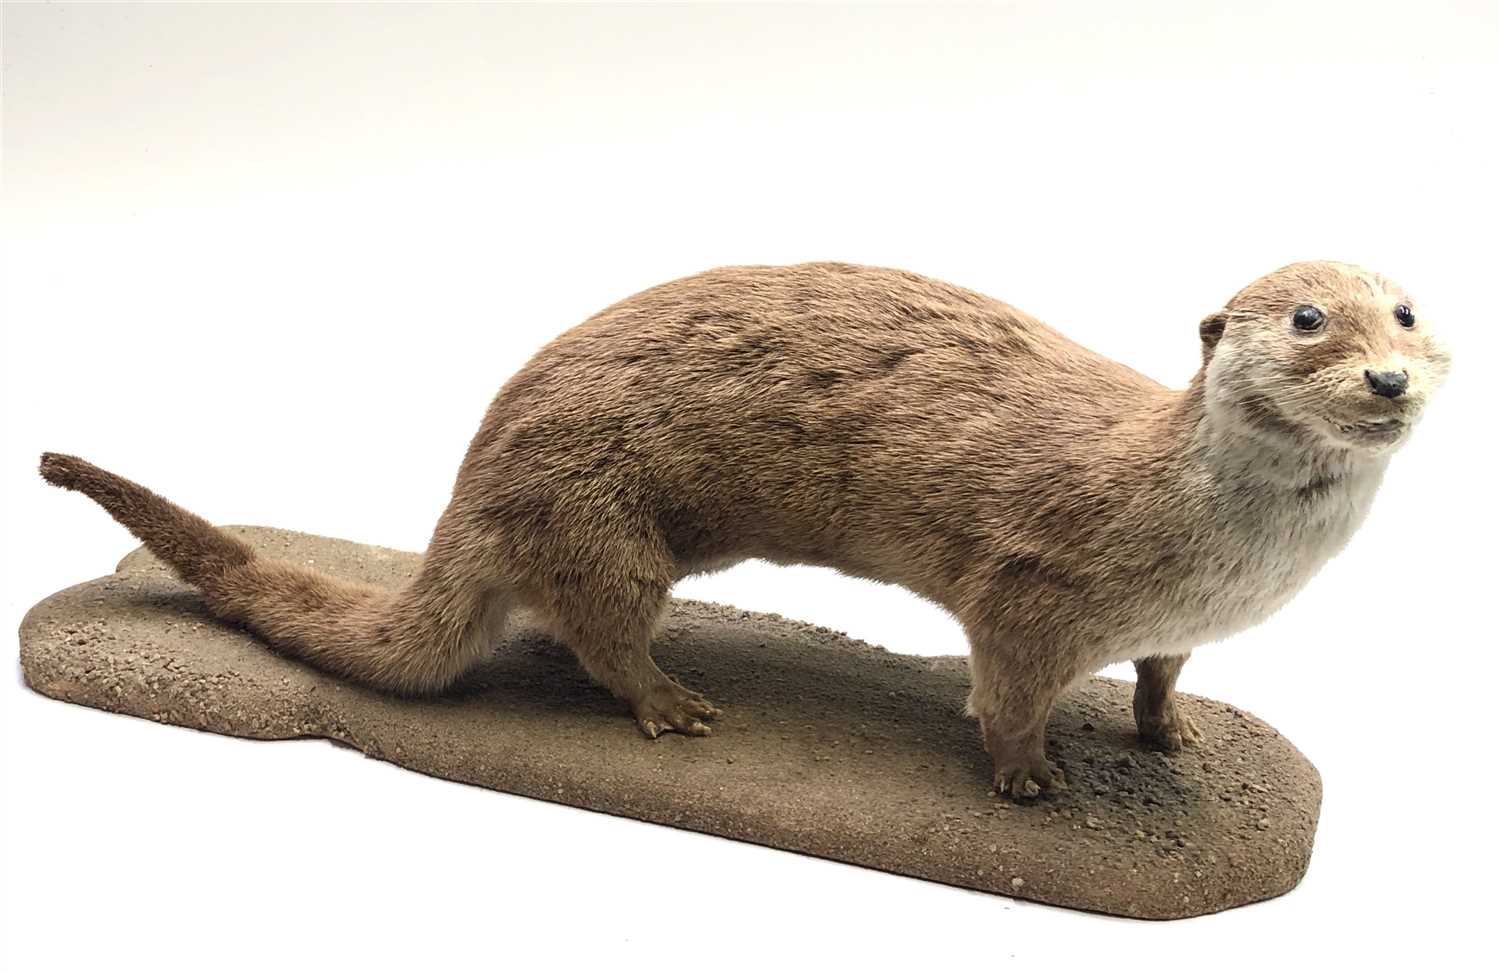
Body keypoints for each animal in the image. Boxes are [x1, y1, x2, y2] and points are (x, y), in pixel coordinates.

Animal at [38, 260, 1449, 797]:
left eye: (1407, 311)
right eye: (1307, 320)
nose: (1389, 379)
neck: (1217, 543)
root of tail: (475, 483)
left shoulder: (1181, 622)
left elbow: (1161, 677)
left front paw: (1170, 735)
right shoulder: (1032, 589)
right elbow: (1003, 692)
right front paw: (1028, 775)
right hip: (598, 519)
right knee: (601, 630)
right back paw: (672, 706)